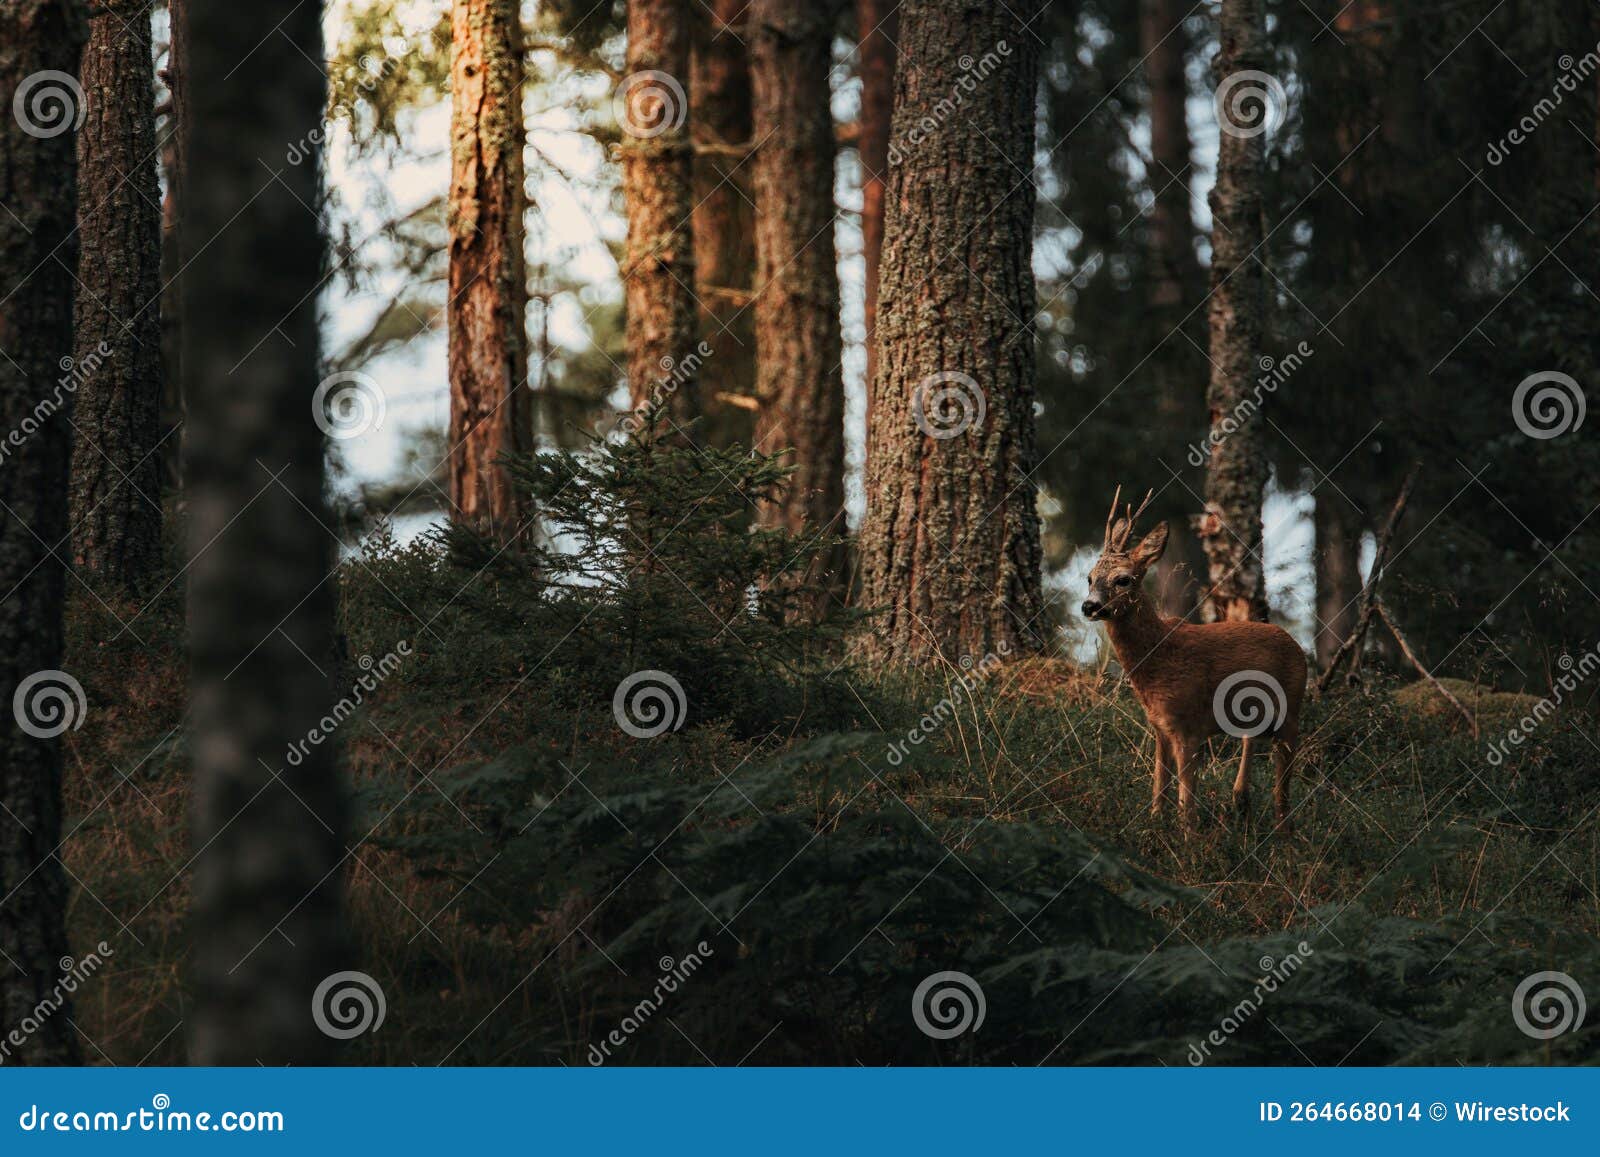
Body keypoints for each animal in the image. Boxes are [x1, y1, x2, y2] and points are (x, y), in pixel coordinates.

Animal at [1081, 488, 1308, 829]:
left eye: (1123, 579)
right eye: (1090, 578)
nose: (1089, 606)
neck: (1159, 656)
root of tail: (1295, 644)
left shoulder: (1188, 725)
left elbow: (1186, 804)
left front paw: (1188, 838)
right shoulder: (1160, 727)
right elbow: (1158, 790)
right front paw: (1155, 827)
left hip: (1292, 708)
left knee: (1284, 776)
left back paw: (1283, 830)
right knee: (1252, 742)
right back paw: (1240, 799)